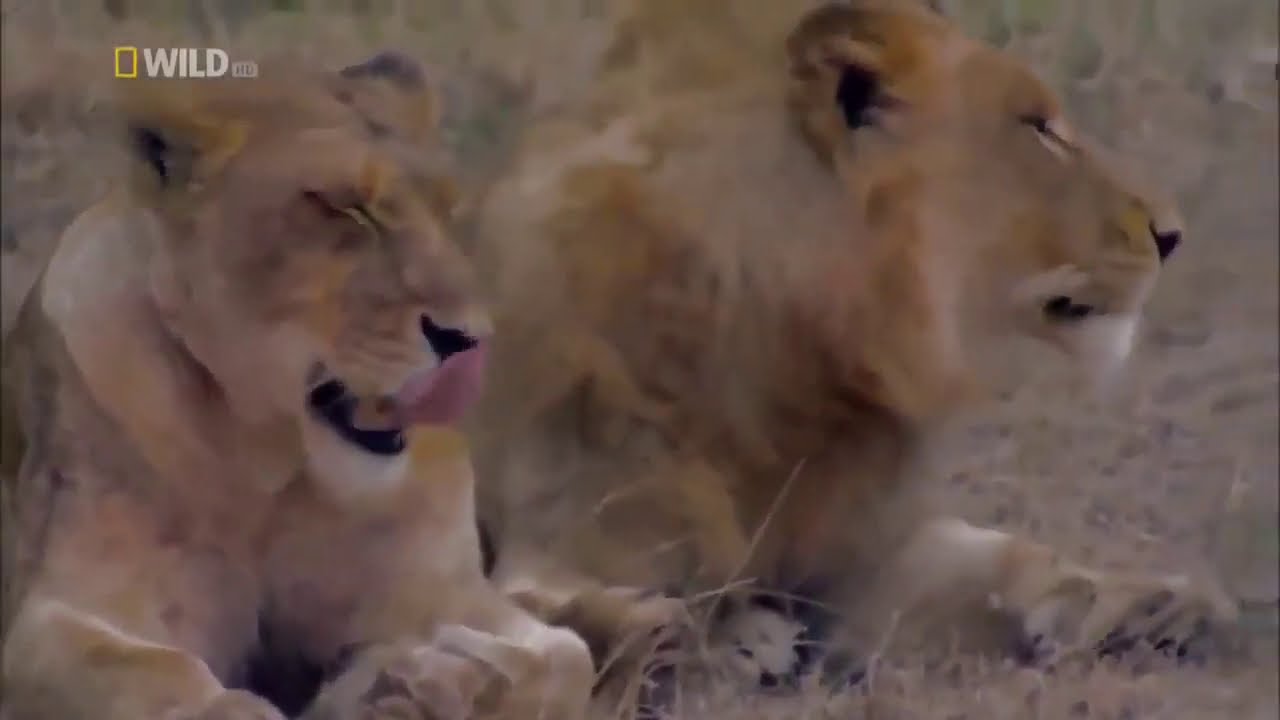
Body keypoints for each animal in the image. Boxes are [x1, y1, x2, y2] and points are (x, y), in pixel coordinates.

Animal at [0, 52, 593, 720]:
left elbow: (567, 657)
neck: (271, 462)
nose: (469, 340)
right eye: (349, 208)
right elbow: (163, 675)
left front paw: (420, 679)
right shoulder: (63, 612)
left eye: (447, 212)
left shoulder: (438, 586)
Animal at [464, 0, 1240, 696]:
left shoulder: (866, 554)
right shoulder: (557, 536)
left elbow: (1001, 561)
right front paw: (715, 634)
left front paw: (1155, 603)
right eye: (1037, 128)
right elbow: (562, 618)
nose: (1171, 235)